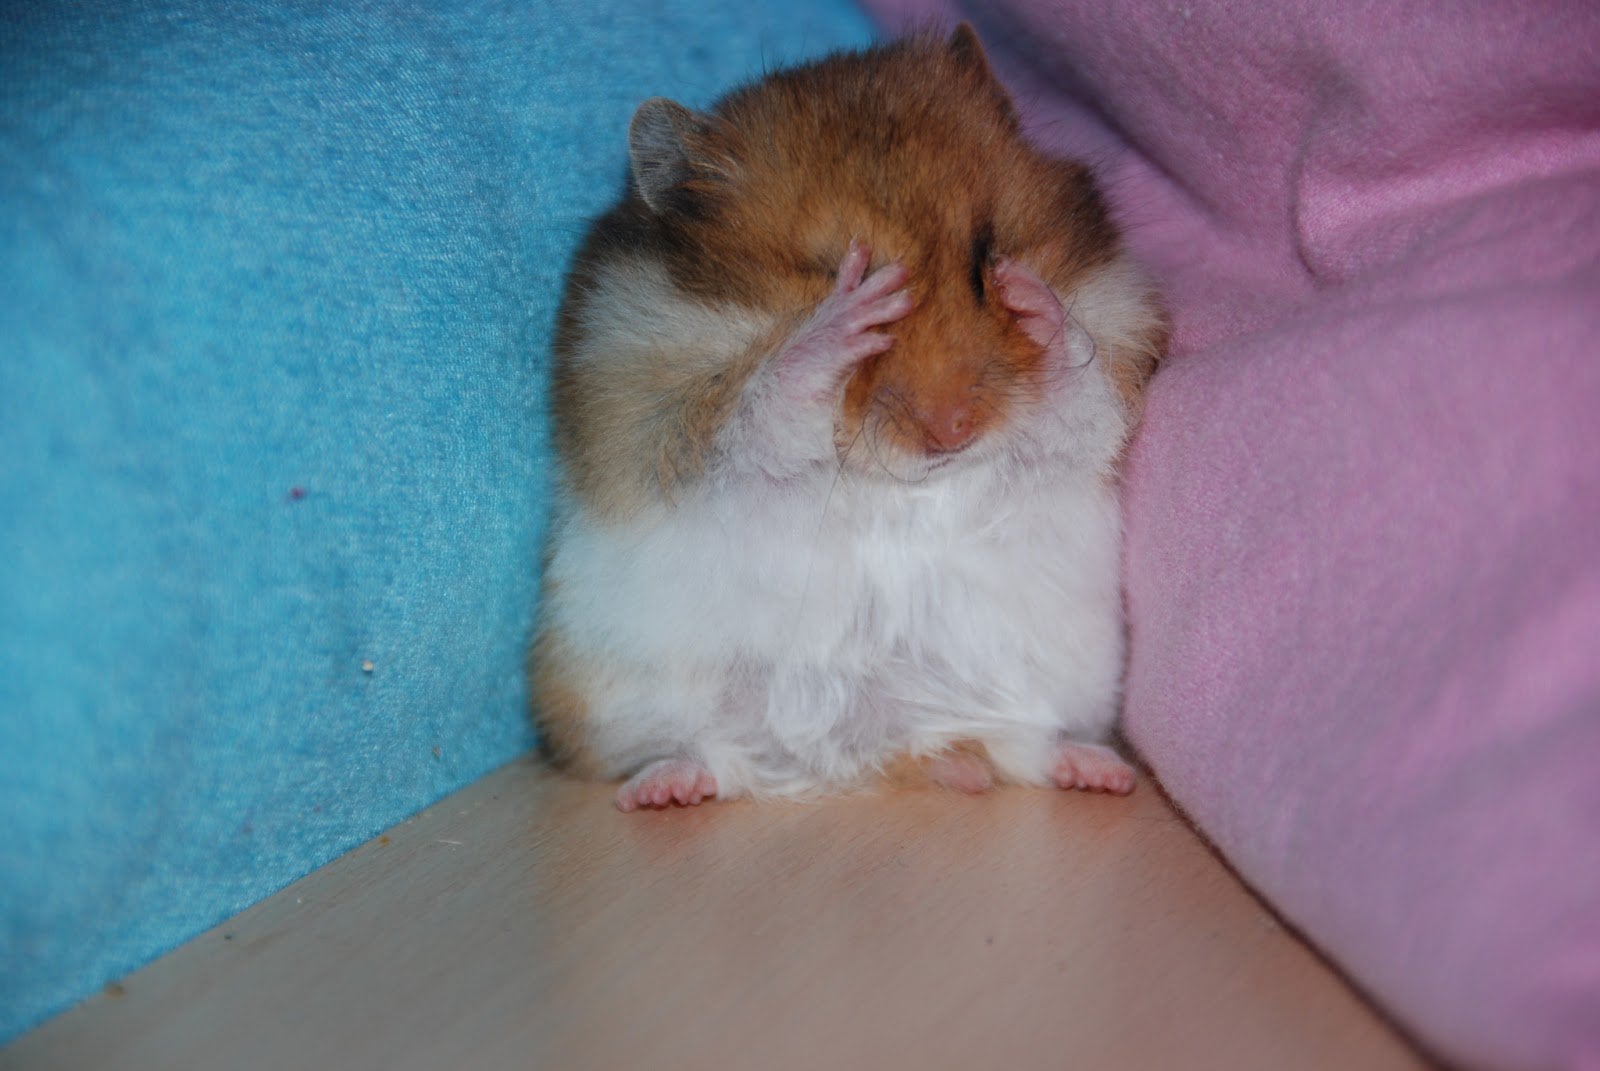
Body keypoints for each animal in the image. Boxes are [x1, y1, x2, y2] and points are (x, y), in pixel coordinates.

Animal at [531, 25, 1165, 812]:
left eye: (985, 259)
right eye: (842, 273)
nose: (953, 433)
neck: (897, 482)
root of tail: (867, 752)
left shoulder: (1081, 424)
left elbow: (1077, 402)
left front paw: (1031, 297)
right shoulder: (677, 434)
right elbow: (769, 399)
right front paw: (839, 322)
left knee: (1025, 750)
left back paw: (1096, 772)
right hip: (619, 699)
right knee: (711, 759)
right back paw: (663, 790)